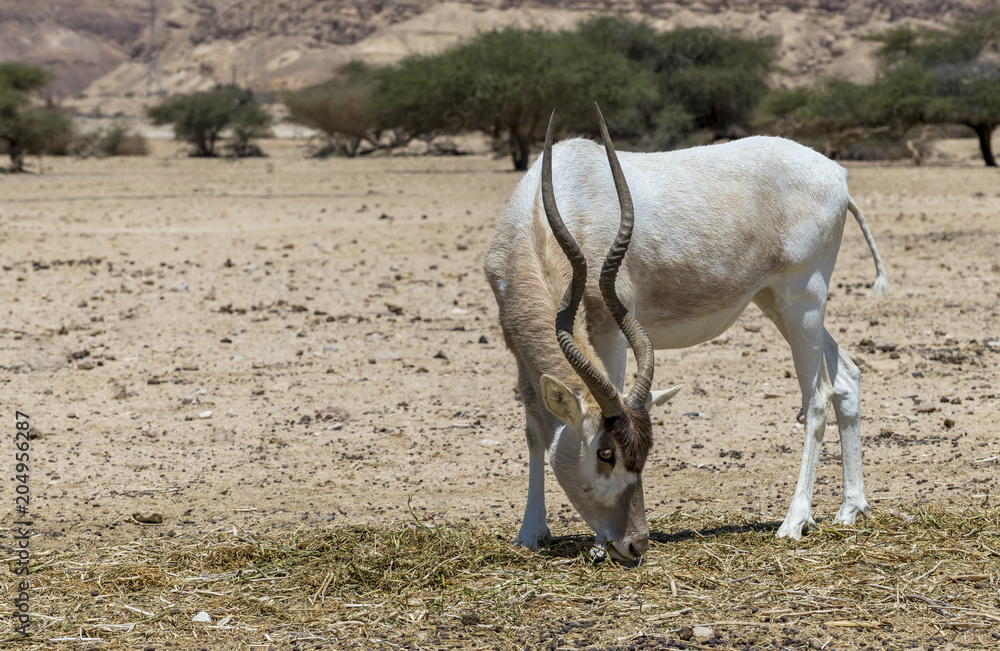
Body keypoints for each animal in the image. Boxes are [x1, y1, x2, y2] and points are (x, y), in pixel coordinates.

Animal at [483, 105, 887, 562]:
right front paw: (530, 531)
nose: (635, 543)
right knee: (846, 377)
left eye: (632, 453)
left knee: (817, 397)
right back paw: (850, 509)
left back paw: (794, 521)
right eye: (605, 453)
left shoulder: (609, 323)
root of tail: (838, 176)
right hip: (776, 304)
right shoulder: (514, 340)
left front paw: (595, 545)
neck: (557, 202)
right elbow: (535, 429)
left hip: (803, 300)